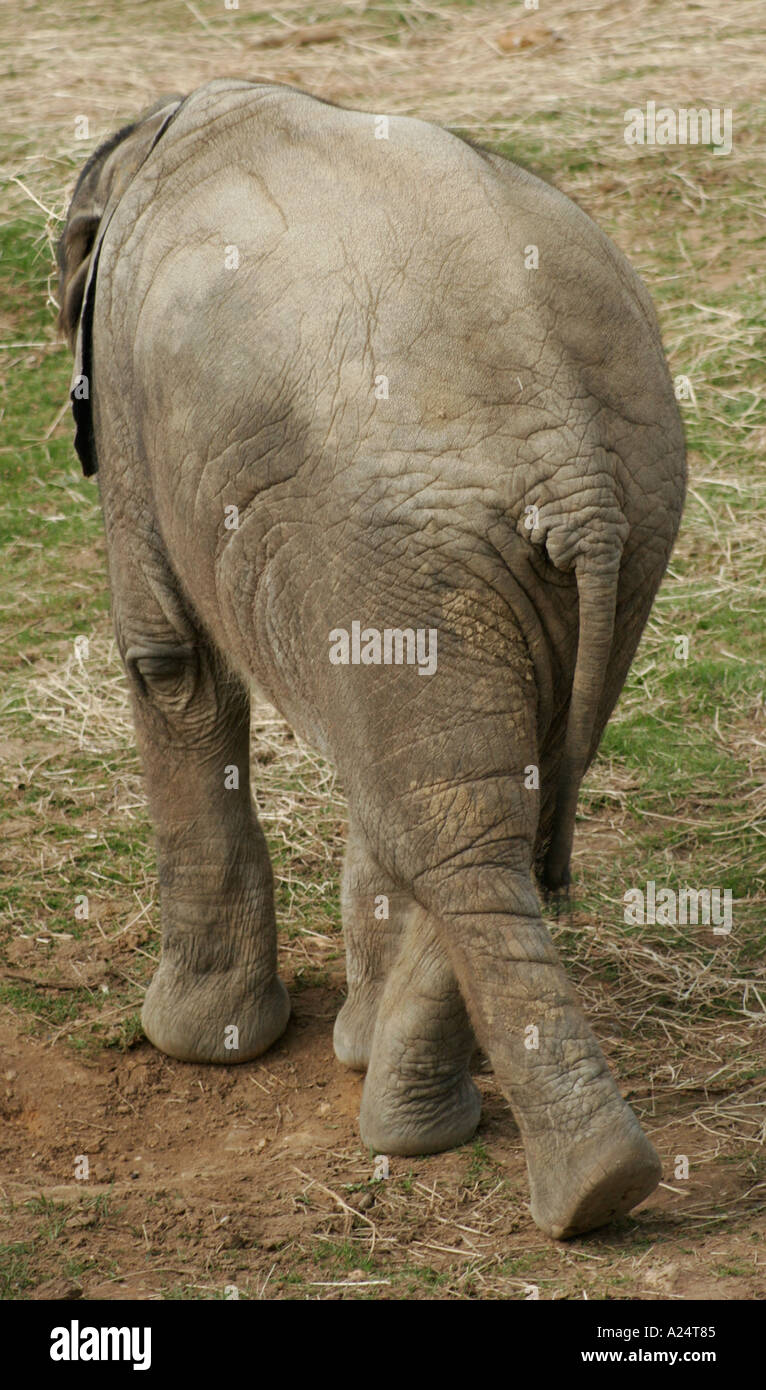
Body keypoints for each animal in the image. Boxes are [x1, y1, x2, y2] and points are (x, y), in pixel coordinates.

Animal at [57, 78, 686, 1239]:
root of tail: (574, 464)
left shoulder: (125, 403)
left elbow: (169, 664)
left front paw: (198, 1045)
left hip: (409, 538)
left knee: (450, 825)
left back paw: (500, 1162)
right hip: (580, 533)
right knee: (474, 809)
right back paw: (547, 1165)